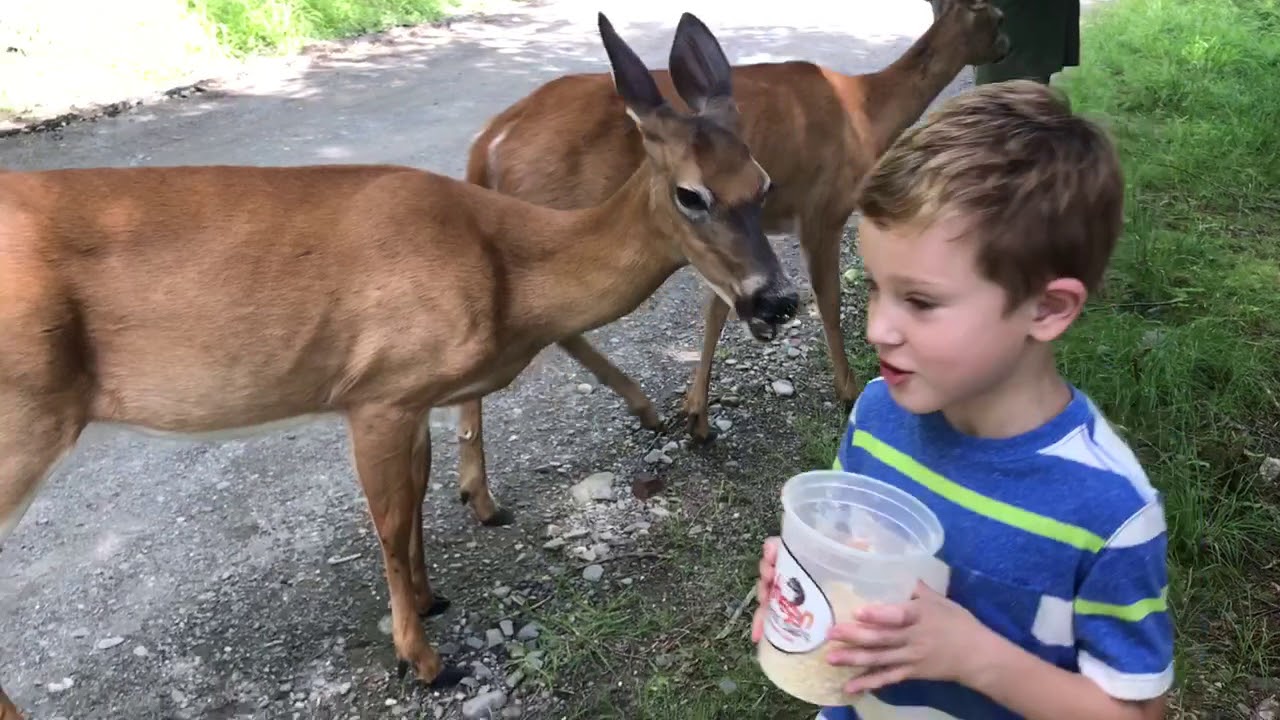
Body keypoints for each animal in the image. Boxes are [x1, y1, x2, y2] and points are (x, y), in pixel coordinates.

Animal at [0, 12, 796, 718]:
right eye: (691, 194)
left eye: (763, 184)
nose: (778, 299)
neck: (507, 272)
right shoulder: (377, 390)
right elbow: (387, 521)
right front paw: (424, 660)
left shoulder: (413, 394)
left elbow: (415, 500)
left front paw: (432, 597)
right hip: (23, 418)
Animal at [449, 0, 1011, 528]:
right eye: (998, 15)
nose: (1004, 47)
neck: (866, 113)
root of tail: (488, 143)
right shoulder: (825, 208)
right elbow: (827, 301)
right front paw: (848, 391)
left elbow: (717, 309)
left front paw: (697, 413)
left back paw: (483, 487)